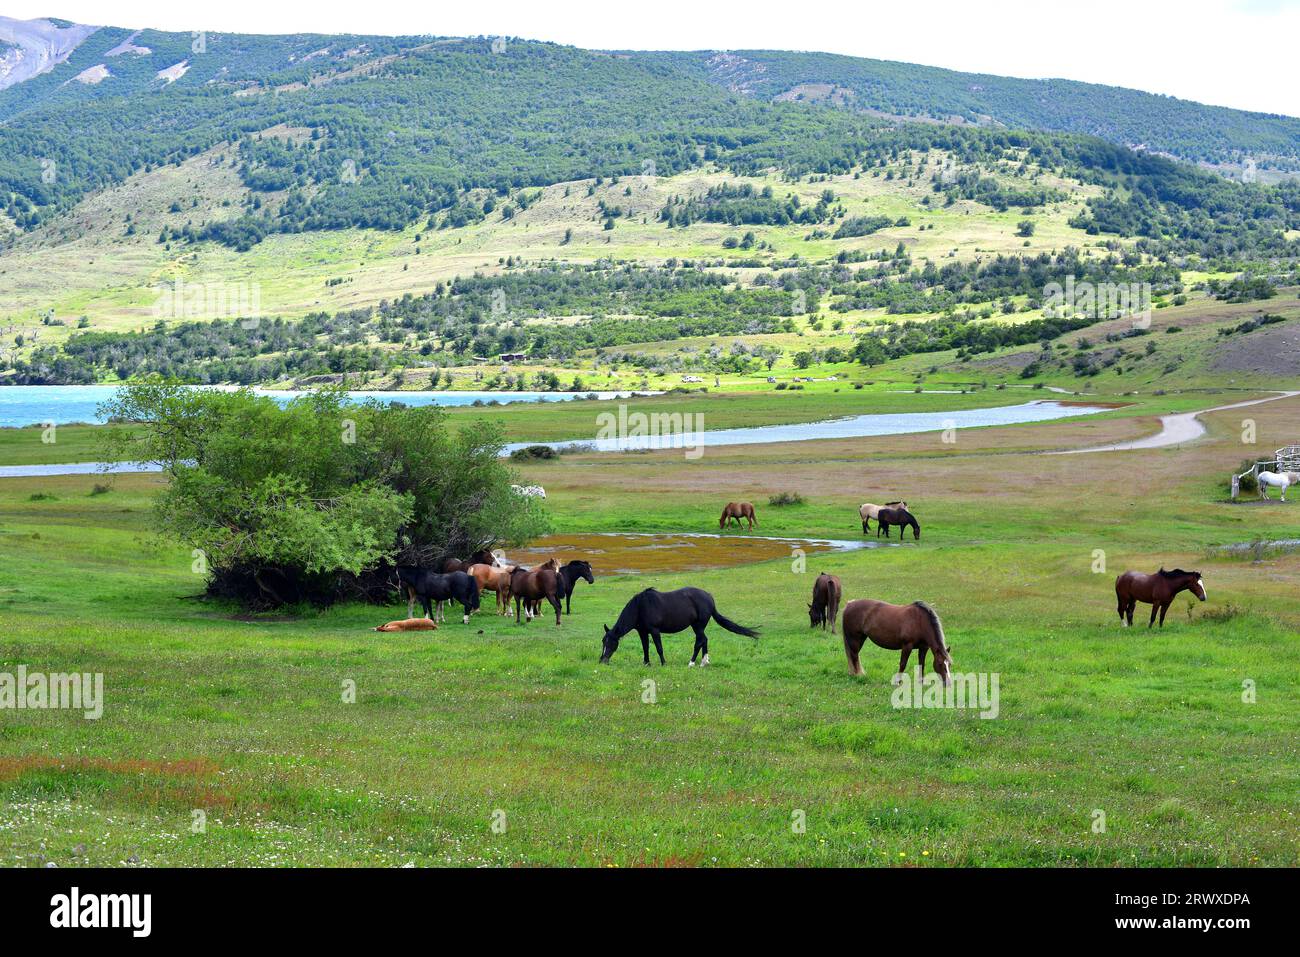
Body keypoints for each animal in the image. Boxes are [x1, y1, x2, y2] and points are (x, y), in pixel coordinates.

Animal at [599, 587, 759, 666]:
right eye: (603, 642)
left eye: (610, 642)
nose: (602, 661)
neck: (640, 607)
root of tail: (708, 597)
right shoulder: (643, 632)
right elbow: (645, 647)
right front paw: (646, 663)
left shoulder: (654, 631)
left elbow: (659, 648)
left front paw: (663, 663)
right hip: (697, 626)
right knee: (705, 640)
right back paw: (704, 662)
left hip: (698, 626)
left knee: (700, 641)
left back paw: (692, 663)